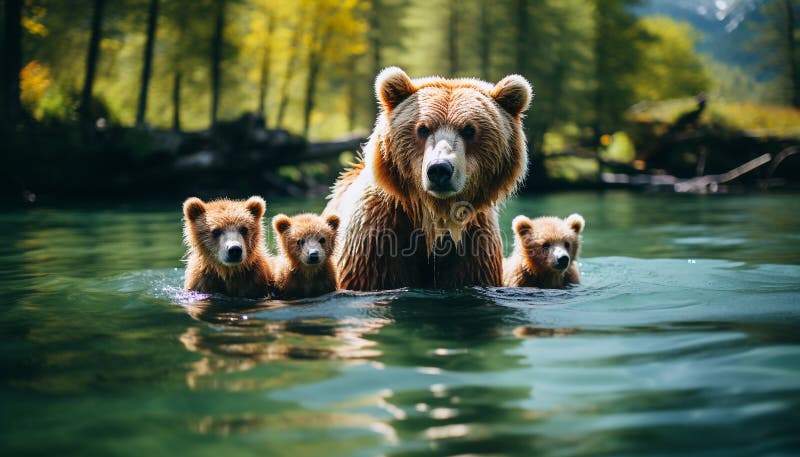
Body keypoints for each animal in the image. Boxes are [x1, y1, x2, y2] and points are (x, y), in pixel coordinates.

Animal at [324, 66, 532, 290]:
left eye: (469, 129)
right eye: (423, 128)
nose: (440, 169)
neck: (433, 219)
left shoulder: (474, 247)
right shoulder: (377, 242)